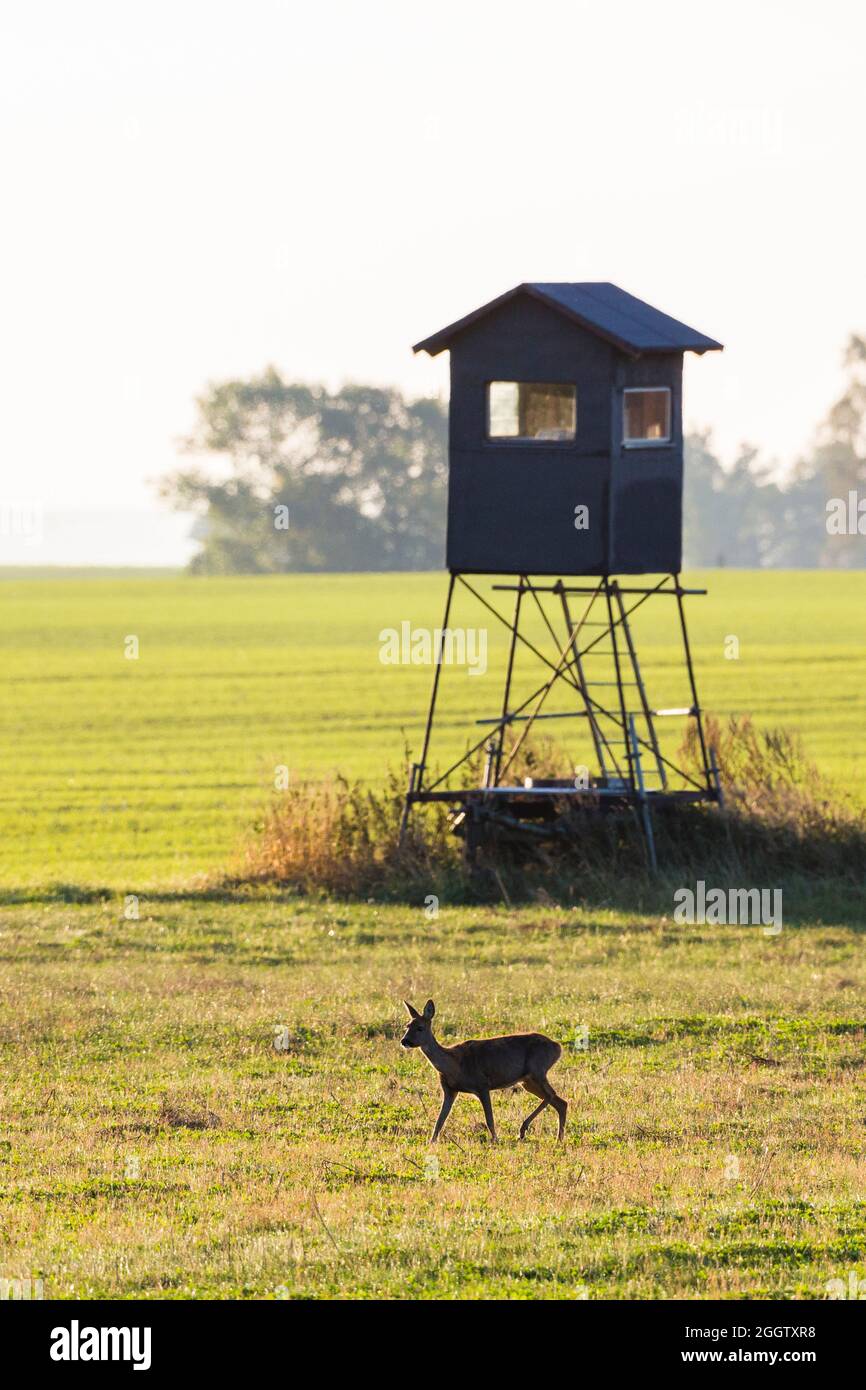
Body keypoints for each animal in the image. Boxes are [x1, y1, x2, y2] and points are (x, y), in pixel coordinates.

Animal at [401, 999, 567, 1144]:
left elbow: (489, 1119)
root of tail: (557, 1047)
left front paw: (495, 1141)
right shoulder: (449, 1090)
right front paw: (431, 1142)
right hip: (528, 1081)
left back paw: (522, 1130)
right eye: (407, 1026)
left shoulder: (482, 1085)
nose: (404, 1041)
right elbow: (440, 1120)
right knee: (561, 1102)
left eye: (420, 1027)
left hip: (537, 1070)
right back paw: (558, 1139)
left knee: (551, 1095)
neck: (454, 1065)